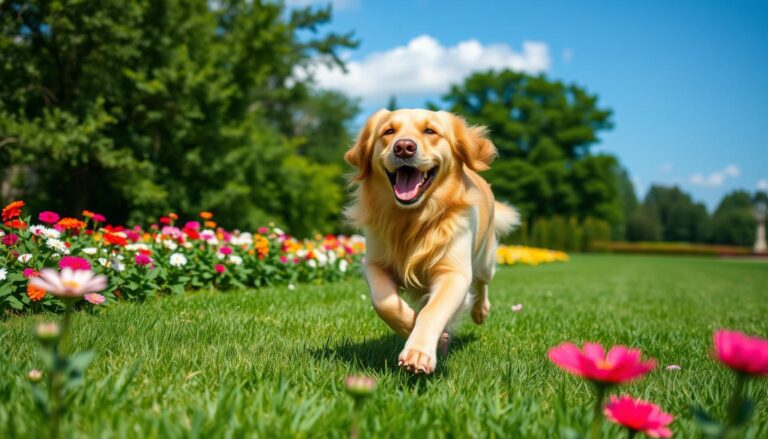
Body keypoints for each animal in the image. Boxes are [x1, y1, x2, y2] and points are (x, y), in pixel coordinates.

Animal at [344, 109, 520, 374]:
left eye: (430, 131)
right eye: (388, 131)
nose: (404, 148)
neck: (413, 218)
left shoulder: (453, 272)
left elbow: (432, 310)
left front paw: (418, 352)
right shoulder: (373, 263)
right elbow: (384, 302)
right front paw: (419, 329)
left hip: (485, 257)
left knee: (482, 282)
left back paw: (480, 311)